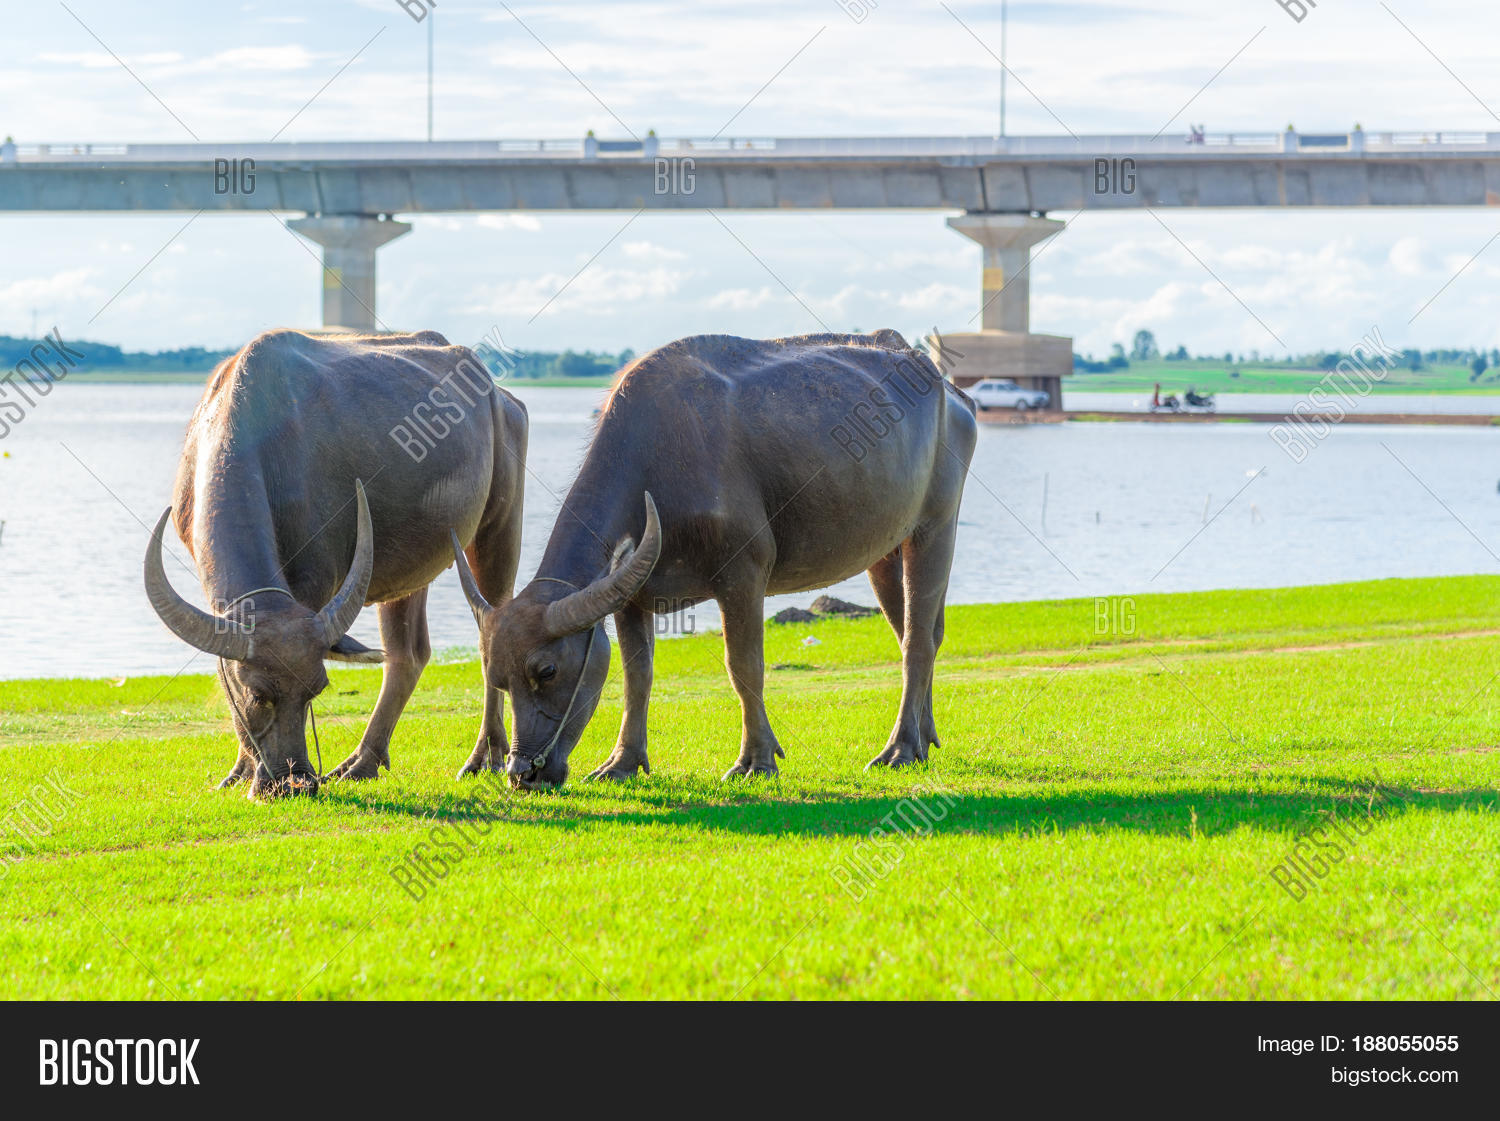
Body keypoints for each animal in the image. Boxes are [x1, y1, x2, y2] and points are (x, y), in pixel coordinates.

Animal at [452, 330, 975, 788]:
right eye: (498, 680)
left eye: (546, 671)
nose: (522, 774)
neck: (659, 458)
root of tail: (952, 394)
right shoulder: (632, 598)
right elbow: (637, 676)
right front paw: (622, 762)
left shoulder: (744, 576)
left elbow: (743, 666)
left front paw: (756, 760)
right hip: (885, 552)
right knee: (918, 632)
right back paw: (925, 737)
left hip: (935, 527)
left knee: (917, 641)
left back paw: (900, 749)